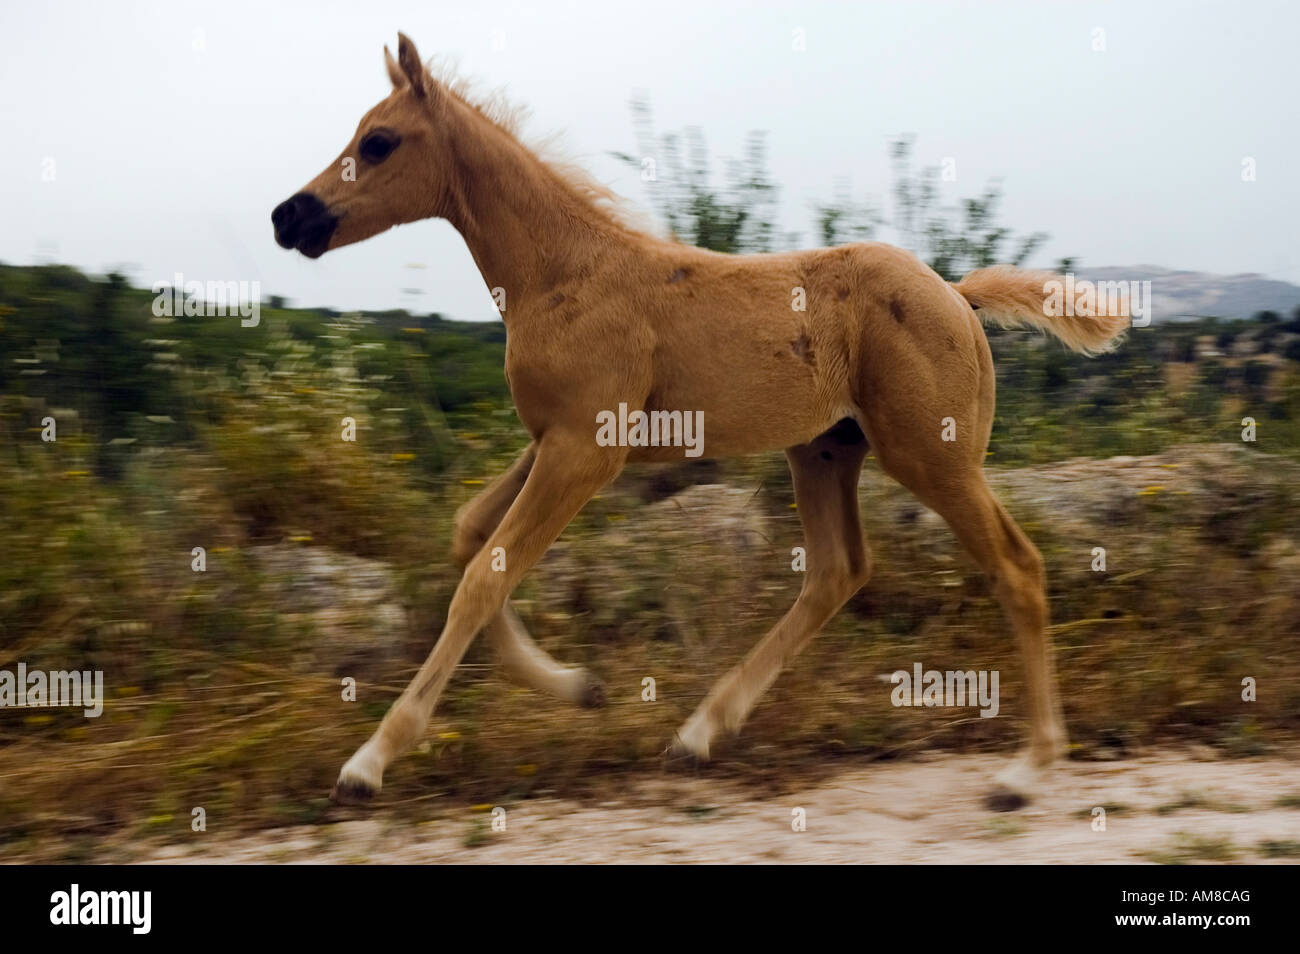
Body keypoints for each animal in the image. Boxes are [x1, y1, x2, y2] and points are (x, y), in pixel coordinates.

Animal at [272, 33, 1128, 810]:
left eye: (378, 141)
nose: (288, 217)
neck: (561, 272)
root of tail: (956, 294)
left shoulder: (584, 451)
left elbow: (483, 576)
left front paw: (368, 763)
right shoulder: (553, 441)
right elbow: (471, 538)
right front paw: (578, 685)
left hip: (932, 455)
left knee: (1016, 567)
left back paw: (1027, 769)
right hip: (824, 451)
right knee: (837, 570)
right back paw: (698, 733)